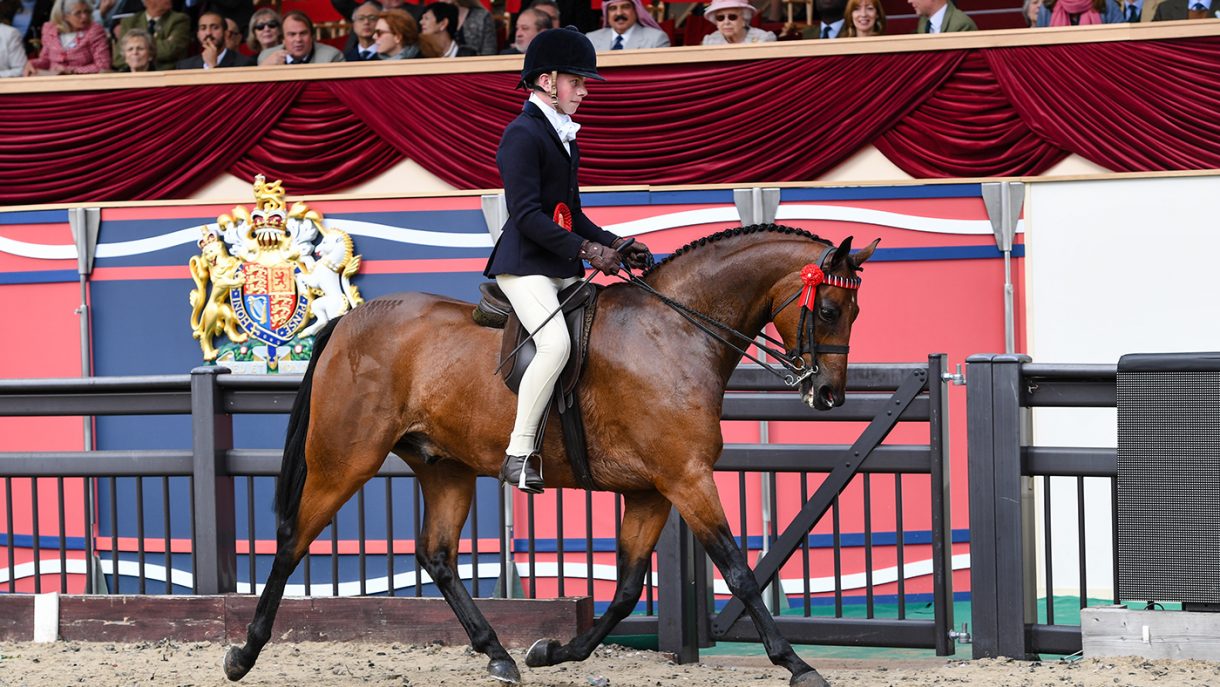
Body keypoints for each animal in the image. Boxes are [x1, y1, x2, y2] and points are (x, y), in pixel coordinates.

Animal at [223, 224, 879, 687]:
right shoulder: (686, 479)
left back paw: (498, 654)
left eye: (856, 312)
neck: (674, 333)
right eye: (827, 310)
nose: (828, 394)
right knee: (293, 540)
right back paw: (243, 653)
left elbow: (627, 589)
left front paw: (554, 651)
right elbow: (738, 570)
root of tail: (348, 319)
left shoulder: (649, 491)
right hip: (345, 458)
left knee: (436, 555)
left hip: (446, 467)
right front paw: (796, 663)